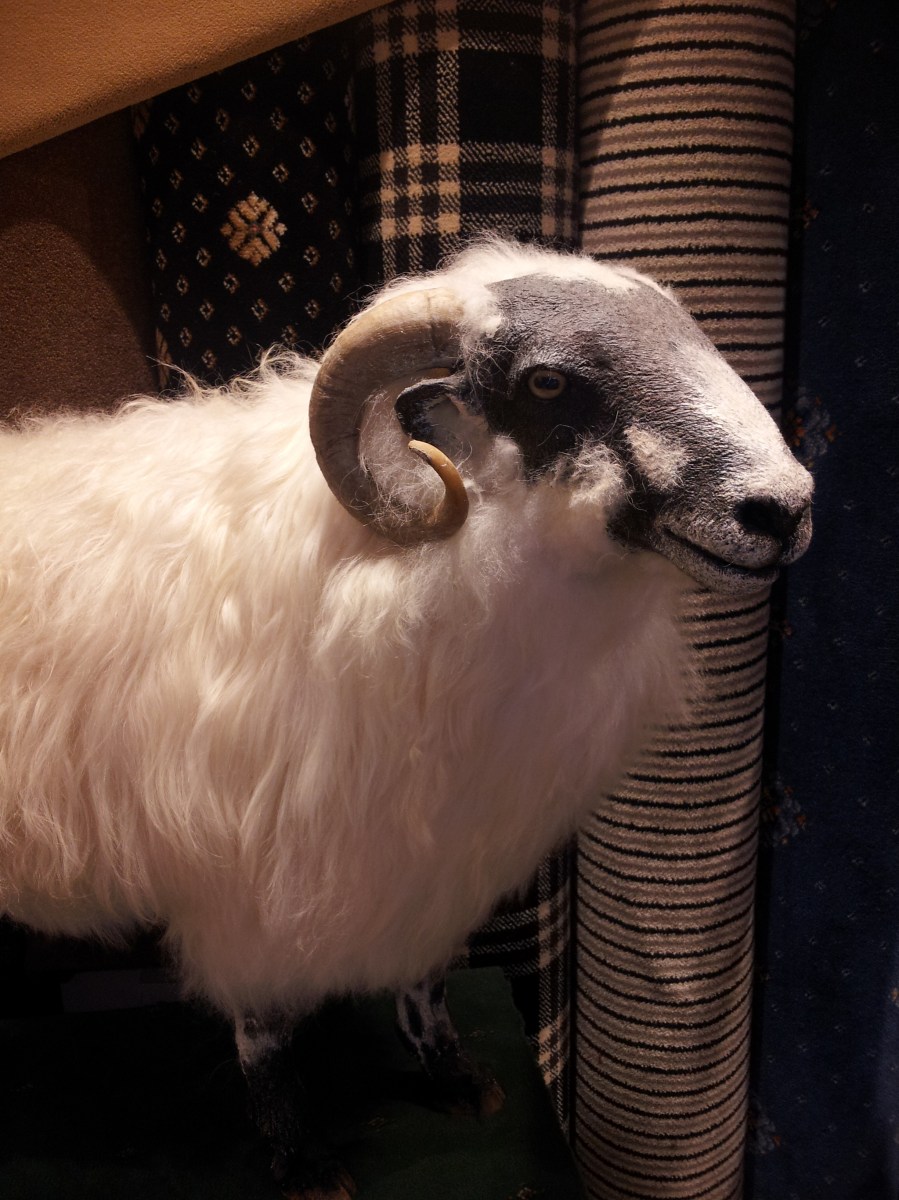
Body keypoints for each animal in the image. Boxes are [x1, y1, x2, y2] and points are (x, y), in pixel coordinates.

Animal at [0, 238, 812, 1199]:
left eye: (690, 335)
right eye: (545, 382)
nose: (783, 508)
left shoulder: (437, 850)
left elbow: (425, 979)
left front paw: (452, 1075)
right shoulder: (246, 884)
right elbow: (262, 1030)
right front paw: (300, 1156)